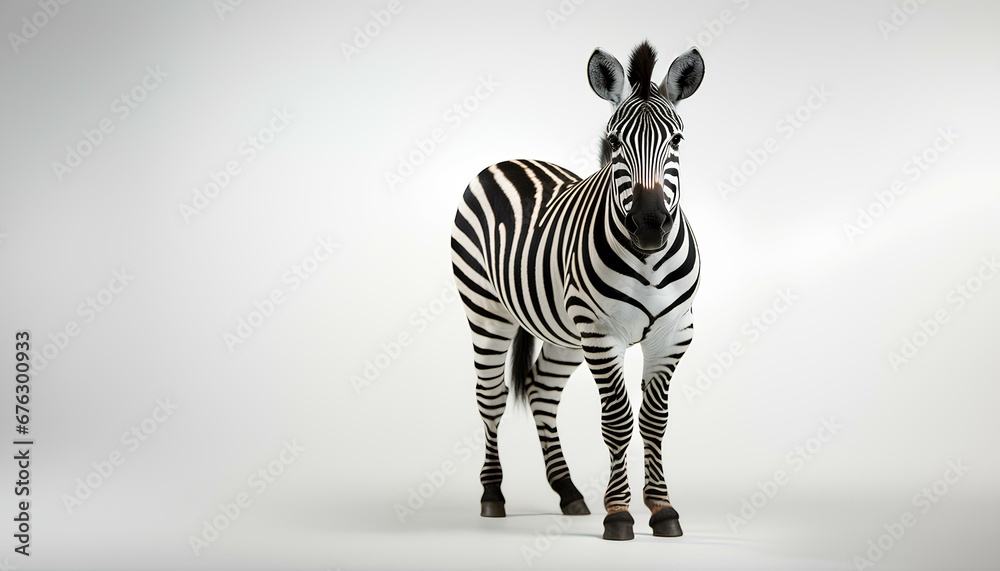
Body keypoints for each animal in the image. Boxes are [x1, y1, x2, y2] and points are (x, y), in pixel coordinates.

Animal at [450, 41, 704, 541]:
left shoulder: (672, 336)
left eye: (677, 141)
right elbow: (618, 421)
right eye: (614, 142)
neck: (648, 261)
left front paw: (662, 509)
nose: (650, 226)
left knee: (542, 391)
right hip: (486, 311)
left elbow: (654, 421)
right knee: (490, 398)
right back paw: (492, 494)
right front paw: (620, 514)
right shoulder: (603, 335)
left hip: (565, 332)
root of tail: (509, 160)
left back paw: (567, 491)